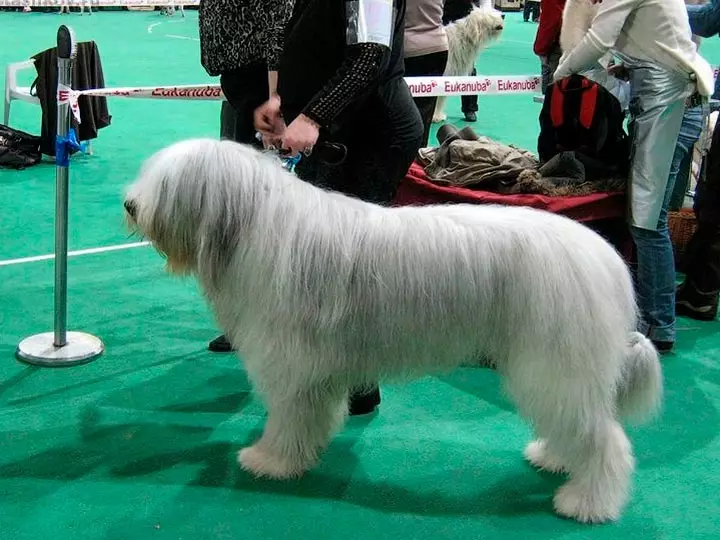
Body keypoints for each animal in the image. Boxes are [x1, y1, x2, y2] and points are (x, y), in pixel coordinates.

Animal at [122, 138, 664, 524]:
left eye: (165, 185)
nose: (128, 204)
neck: (253, 227)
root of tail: (609, 263)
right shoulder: (317, 372)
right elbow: (314, 415)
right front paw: (303, 453)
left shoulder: (290, 363)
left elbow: (288, 417)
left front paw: (269, 460)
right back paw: (553, 458)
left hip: (555, 361)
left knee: (605, 439)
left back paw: (587, 503)